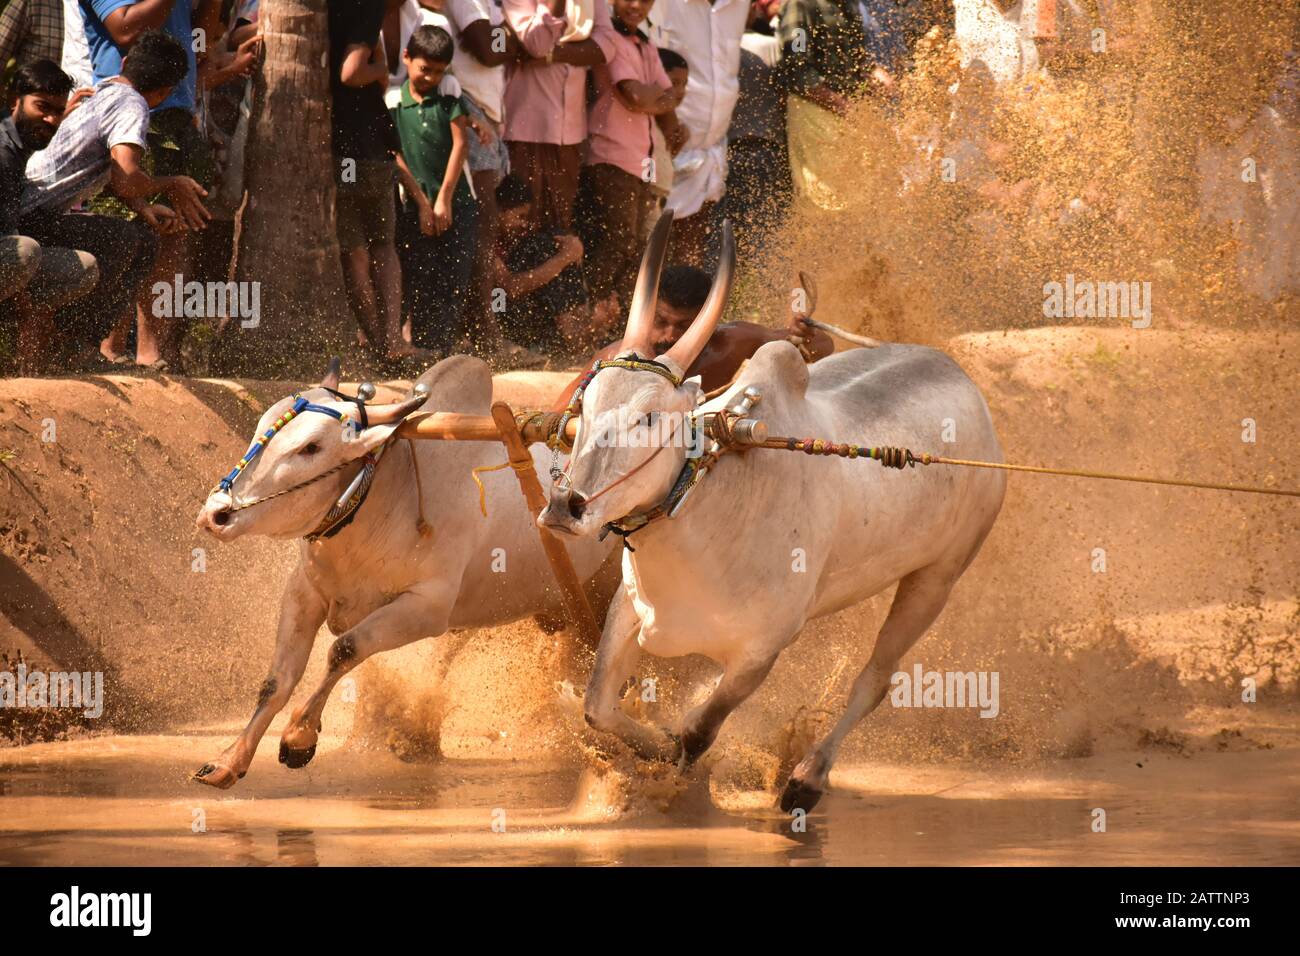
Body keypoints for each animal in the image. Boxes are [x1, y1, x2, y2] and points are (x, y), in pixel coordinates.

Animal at [192, 356, 618, 788]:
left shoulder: (424, 609)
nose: (216, 513)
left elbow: (343, 649)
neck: (383, 498)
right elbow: (277, 679)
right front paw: (230, 759)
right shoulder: (304, 591)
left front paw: (299, 736)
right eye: (262, 426)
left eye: (311, 447)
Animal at [538, 215, 1007, 812]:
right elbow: (598, 707)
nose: (564, 506)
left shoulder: (763, 649)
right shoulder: (629, 606)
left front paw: (676, 757)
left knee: (875, 679)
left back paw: (808, 776)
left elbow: (697, 733)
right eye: (586, 405)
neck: (708, 505)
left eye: (649, 417)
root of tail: (961, 377)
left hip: (939, 576)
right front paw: (652, 744)